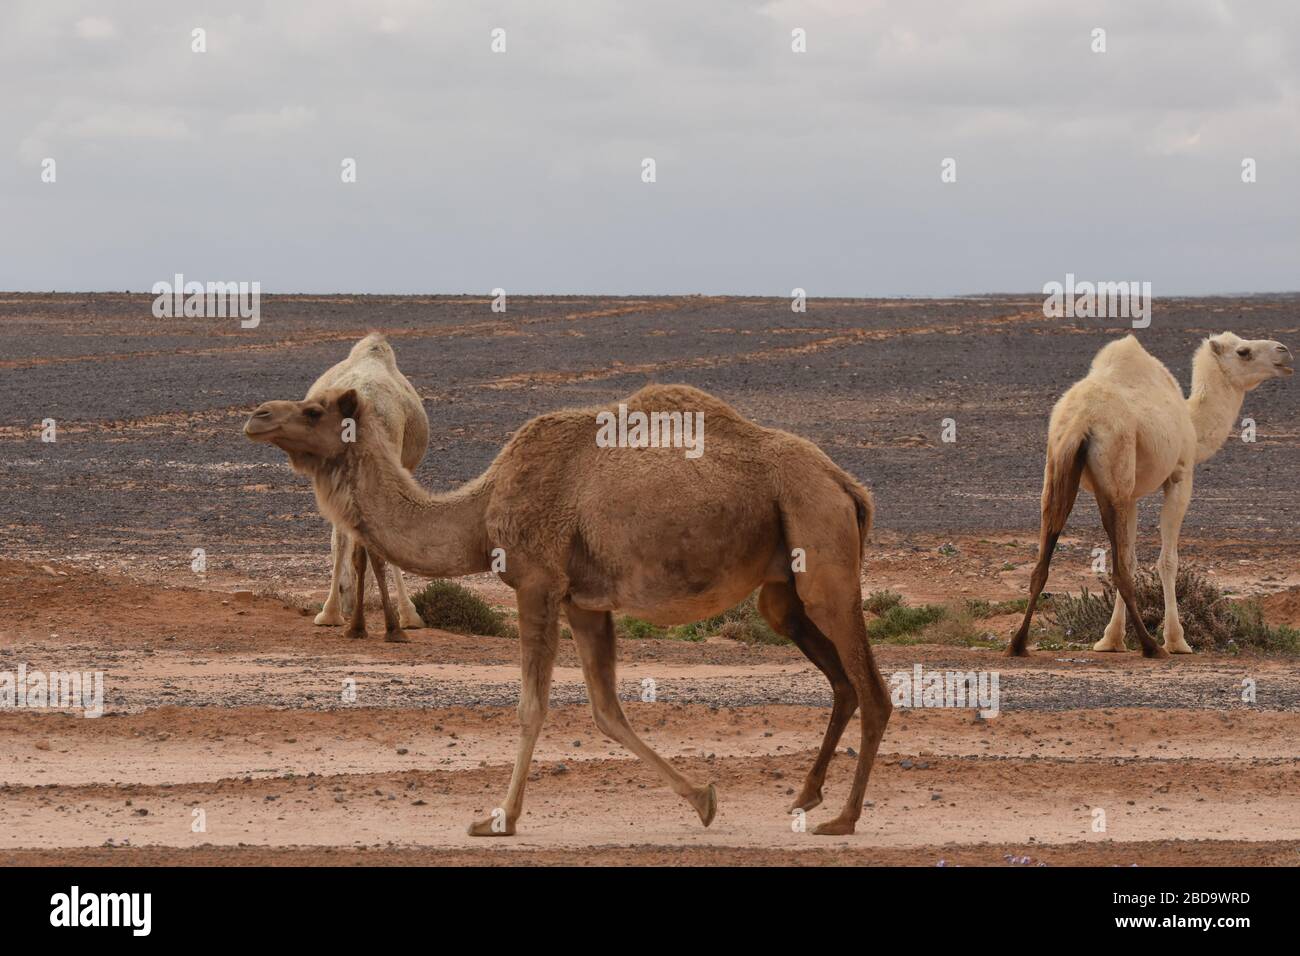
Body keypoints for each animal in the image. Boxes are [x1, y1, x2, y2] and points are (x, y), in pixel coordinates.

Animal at [244, 372, 890, 836]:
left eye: (314, 410)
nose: (256, 415)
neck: (478, 514)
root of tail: (847, 484)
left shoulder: (537, 583)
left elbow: (532, 707)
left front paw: (498, 819)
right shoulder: (585, 602)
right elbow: (607, 711)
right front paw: (703, 799)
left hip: (821, 545)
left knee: (873, 688)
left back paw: (844, 818)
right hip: (784, 587)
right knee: (840, 678)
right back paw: (806, 795)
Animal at [1009, 331, 1292, 658]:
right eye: (1243, 352)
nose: (1284, 352)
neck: (1193, 423)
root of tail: (1082, 420)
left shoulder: (1132, 495)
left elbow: (1131, 559)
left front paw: (1111, 640)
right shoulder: (1180, 476)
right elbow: (1166, 560)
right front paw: (1177, 640)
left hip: (1058, 468)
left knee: (1044, 559)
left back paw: (1017, 644)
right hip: (1115, 471)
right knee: (1117, 569)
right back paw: (1151, 646)